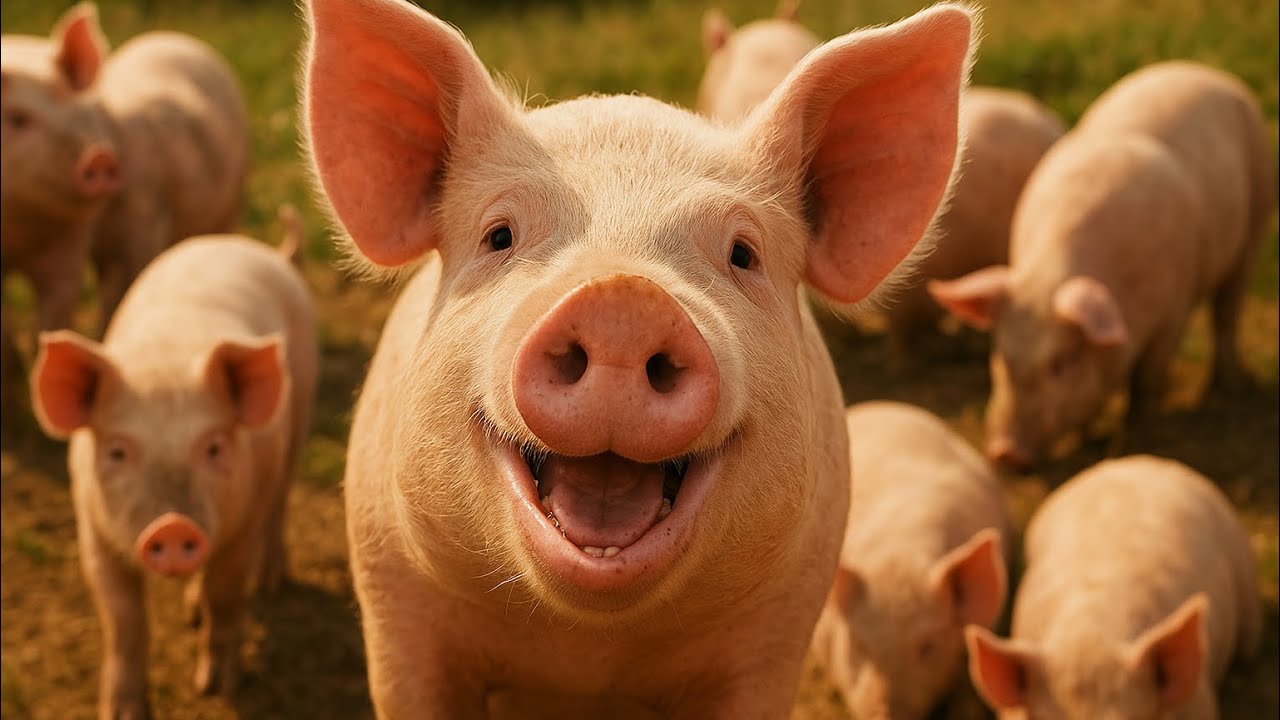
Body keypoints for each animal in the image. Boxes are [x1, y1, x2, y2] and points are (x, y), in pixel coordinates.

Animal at [1, 2, 249, 340]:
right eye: (18, 119)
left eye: (82, 112)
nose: (99, 157)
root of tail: (175, 38)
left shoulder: (140, 224)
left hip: (232, 198)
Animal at [29, 234, 317, 719]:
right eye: (117, 451)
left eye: (214, 448)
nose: (172, 525)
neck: (166, 364)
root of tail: (243, 243)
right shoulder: (92, 529)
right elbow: (124, 622)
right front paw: (121, 711)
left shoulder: (239, 524)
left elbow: (226, 595)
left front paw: (217, 688)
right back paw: (192, 611)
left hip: (300, 407)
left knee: (279, 499)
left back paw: (268, 582)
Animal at [302, 0, 976, 715]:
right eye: (499, 236)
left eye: (743, 254)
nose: (621, 299)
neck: (588, 656)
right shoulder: (393, 597)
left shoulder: (781, 626)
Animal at [929, 61, 1276, 469]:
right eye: (999, 357)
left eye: (1060, 363)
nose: (1005, 453)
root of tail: (1200, 70)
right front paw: (1087, 441)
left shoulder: (1173, 307)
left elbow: (1147, 382)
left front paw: (1127, 449)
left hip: (1258, 214)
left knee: (1227, 312)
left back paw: (1228, 388)